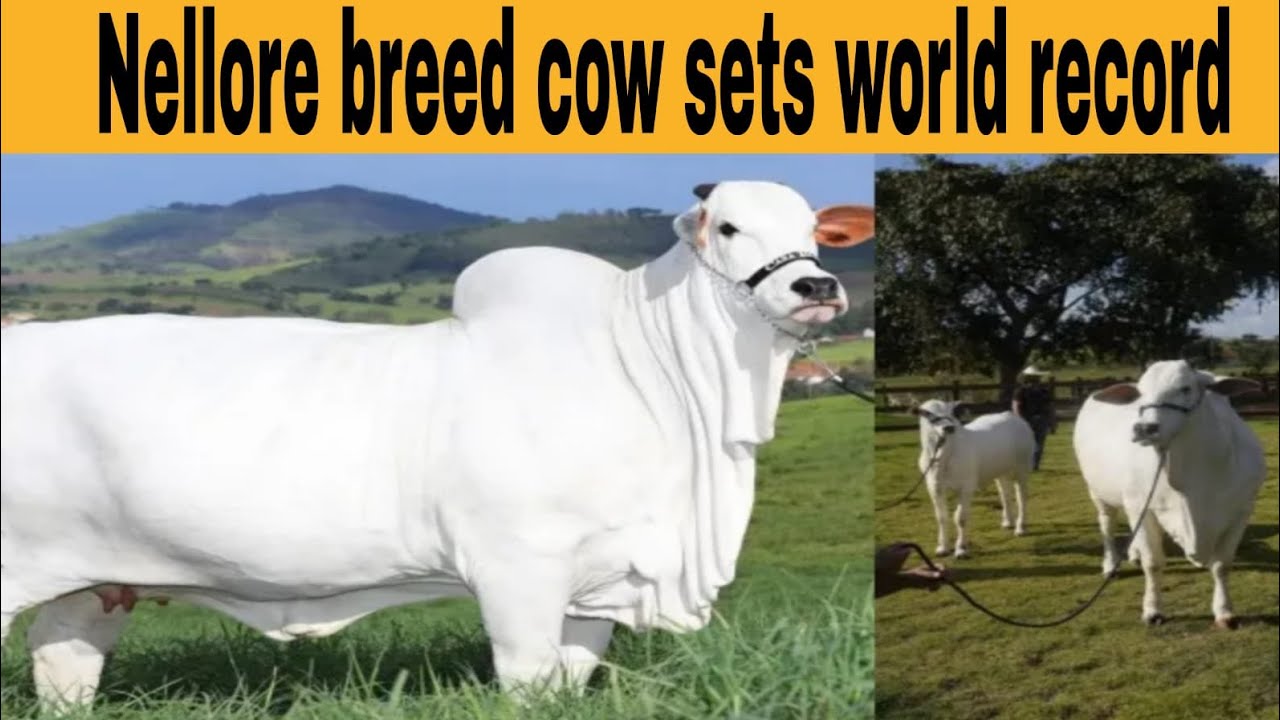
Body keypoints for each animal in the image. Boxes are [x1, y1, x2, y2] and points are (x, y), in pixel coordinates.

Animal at [0, 181, 874, 710]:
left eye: (814, 232)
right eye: (727, 225)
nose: (816, 287)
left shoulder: (596, 585)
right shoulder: (518, 571)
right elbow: (528, 681)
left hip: (94, 584)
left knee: (63, 663)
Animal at [911, 400, 1035, 558]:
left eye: (951, 413)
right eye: (927, 414)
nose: (949, 428)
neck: (943, 457)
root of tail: (1012, 416)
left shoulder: (966, 487)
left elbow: (960, 518)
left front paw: (961, 549)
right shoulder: (934, 487)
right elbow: (941, 517)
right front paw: (943, 547)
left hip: (1022, 467)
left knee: (1021, 496)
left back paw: (1020, 527)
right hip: (1000, 471)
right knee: (1005, 494)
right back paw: (1008, 522)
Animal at [1073, 360, 1266, 628]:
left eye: (1185, 388)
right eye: (1140, 392)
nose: (1144, 428)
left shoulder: (1241, 512)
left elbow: (1222, 565)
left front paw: (1225, 612)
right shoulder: (1143, 507)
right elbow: (1153, 563)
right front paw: (1152, 610)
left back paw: (1133, 554)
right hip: (1100, 494)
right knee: (1107, 526)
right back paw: (1111, 564)